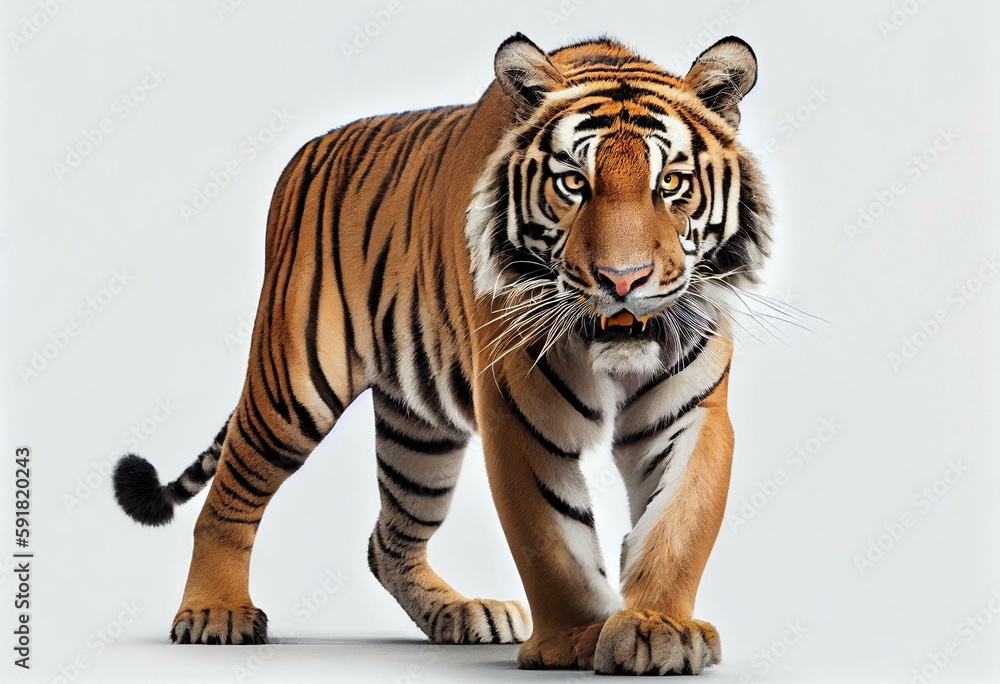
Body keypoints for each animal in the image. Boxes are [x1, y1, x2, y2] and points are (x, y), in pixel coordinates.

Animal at [112, 32, 771, 675]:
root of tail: (308, 151)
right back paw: (214, 613)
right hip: (293, 385)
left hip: (419, 435)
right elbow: (552, 538)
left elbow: (679, 522)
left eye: (670, 184)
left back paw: (464, 613)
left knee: (388, 540)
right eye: (573, 184)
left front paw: (658, 631)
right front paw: (576, 638)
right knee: (230, 493)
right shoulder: (518, 414)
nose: (623, 280)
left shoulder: (692, 410)